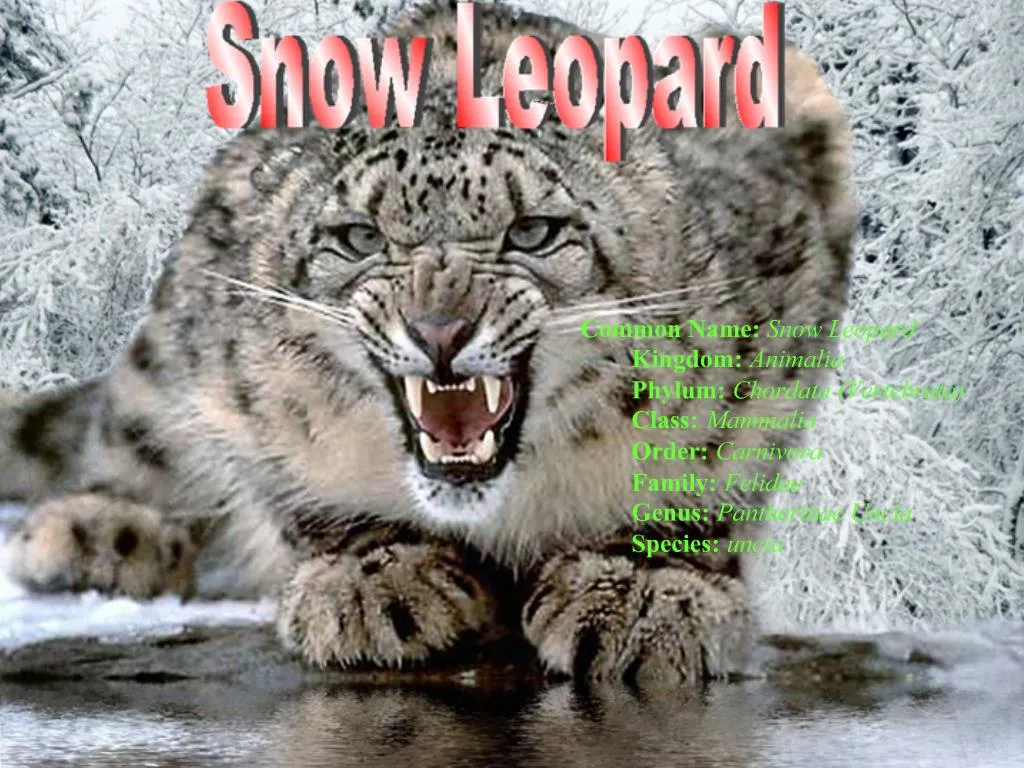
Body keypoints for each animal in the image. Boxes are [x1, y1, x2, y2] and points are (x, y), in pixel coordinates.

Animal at [0, 0, 856, 687]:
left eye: (533, 231)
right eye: (359, 237)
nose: (439, 329)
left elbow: (716, 465)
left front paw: (640, 590)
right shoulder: (234, 365)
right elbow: (289, 477)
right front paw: (376, 582)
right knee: (133, 425)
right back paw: (99, 532)